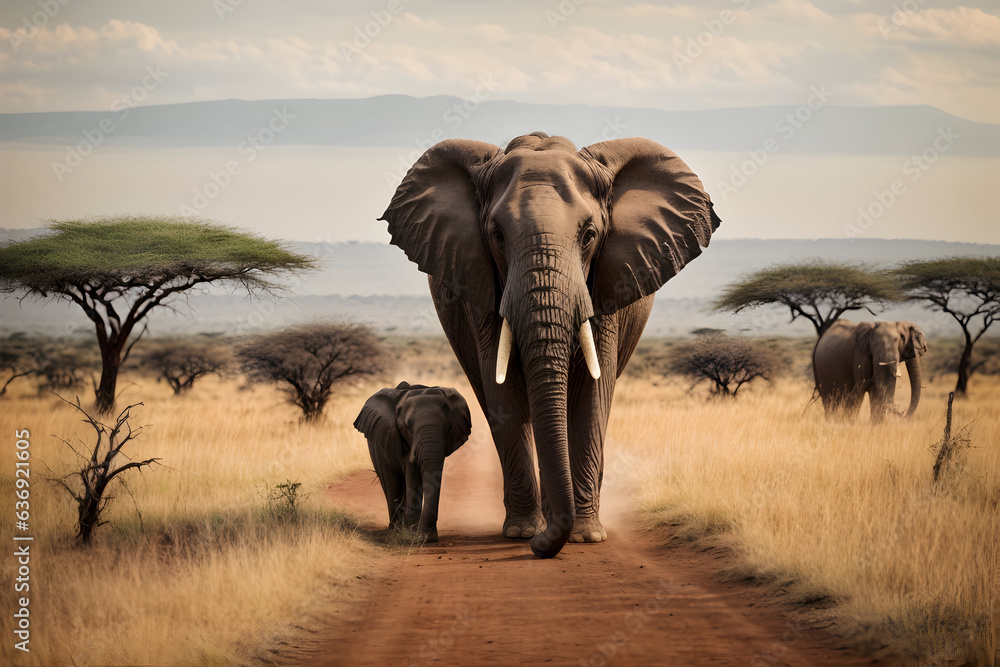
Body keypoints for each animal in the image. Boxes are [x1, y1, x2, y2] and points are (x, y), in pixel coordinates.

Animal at [354, 381, 472, 542]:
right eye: (407, 426)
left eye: (446, 426)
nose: (428, 537)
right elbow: (412, 474)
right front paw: (414, 535)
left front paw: (422, 536)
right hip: (376, 444)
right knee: (391, 482)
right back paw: (395, 528)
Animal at [380, 132, 719, 558]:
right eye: (497, 235)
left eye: (589, 235)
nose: (541, 547)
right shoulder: (481, 285)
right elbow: (504, 391)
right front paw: (524, 533)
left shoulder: (606, 284)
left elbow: (592, 393)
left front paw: (587, 537)